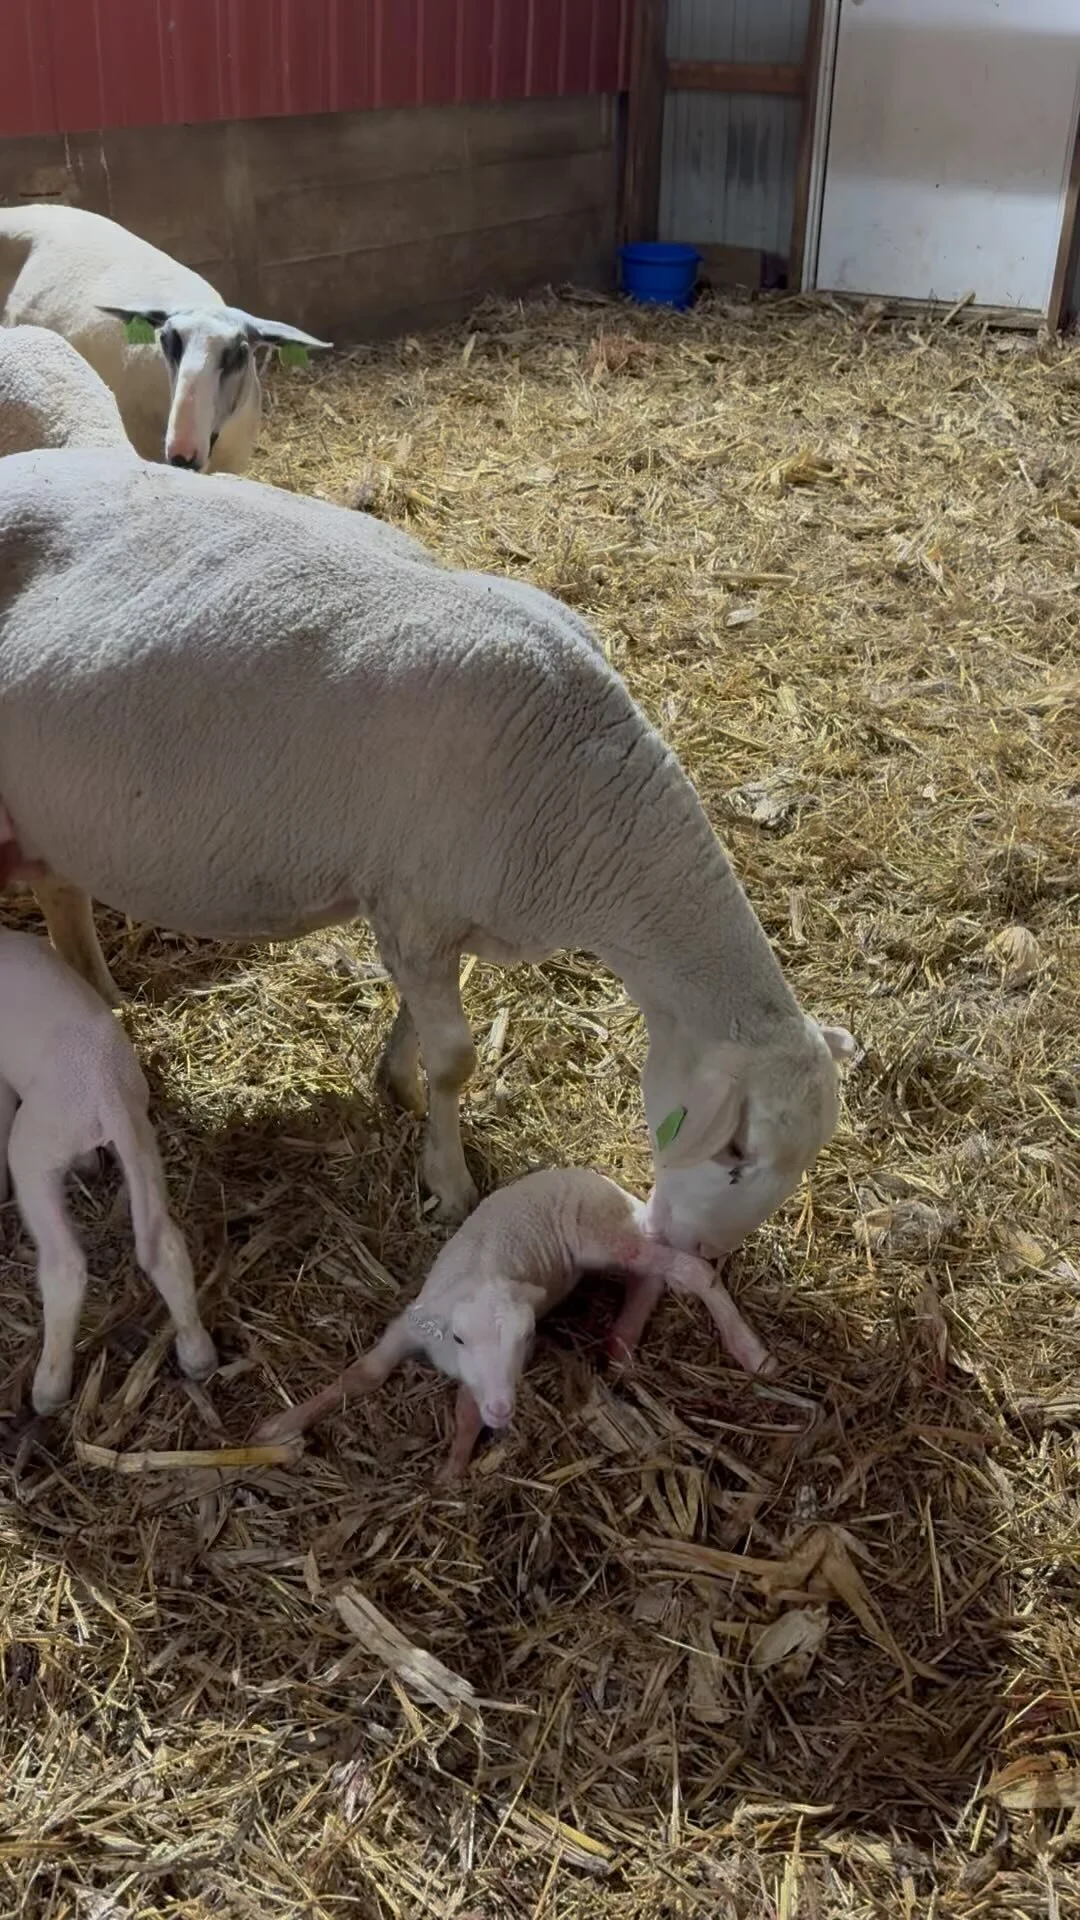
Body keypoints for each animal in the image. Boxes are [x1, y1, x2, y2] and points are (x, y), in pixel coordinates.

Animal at [0, 444, 854, 1261]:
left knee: (62, 899)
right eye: (734, 1151)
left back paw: (104, 1008)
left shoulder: (424, 911)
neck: (581, 799)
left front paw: (396, 1087)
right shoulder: (416, 906)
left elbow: (417, 1015)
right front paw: (448, 1181)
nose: (695, 1252)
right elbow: (456, 1060)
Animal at [0, 919, 217, 1415]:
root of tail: (104, 1096)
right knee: (163, 1247)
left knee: (65, 1267)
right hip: (141, 1144)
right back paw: (197, 1354)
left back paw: (49, 1388)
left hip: (34, 1152)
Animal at [253, 1168, 776, 1482]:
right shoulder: (414, 1326)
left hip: (601, 1235)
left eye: (528, 1339)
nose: (504, 1409)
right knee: (651, 1273)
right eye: (459, 1337)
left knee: (687, 1269)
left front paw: (451, 1472)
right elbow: (364, 1375)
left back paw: (751, 1351)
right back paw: (622, 1345)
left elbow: (467, 1410)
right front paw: (280, 1426)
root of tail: (618, 1191)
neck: (483, 1277)